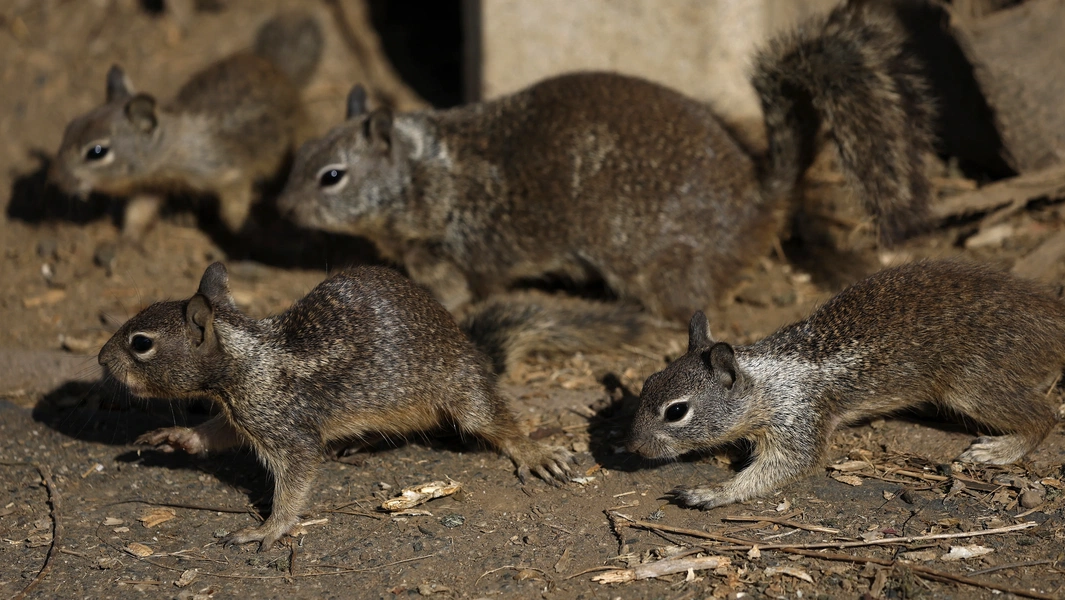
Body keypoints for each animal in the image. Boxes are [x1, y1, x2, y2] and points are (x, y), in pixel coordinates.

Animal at [49, 11, 323, 242]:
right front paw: (127, 238)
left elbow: (234, 204)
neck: (172, 148)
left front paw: (244, 227)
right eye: (69, 127)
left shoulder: (226, 169)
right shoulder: (151, 186)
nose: (59, 181)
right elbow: (139, 209)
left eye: (97, 152)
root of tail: (276, 67)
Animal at [96, 263, 651, 550]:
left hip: (462, 392)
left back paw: (532, 451)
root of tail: (474, 352)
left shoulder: (282, 426)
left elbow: (295, 482)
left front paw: (268, 529)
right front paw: (177, 438)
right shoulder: (245, 415)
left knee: (495, 420)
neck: (247, 359)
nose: (100, 358)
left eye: (140, 343)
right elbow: (216, 433)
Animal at [275, 0, 934, 323]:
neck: (427, 175)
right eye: (299, 155)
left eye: (332, 176)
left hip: (652, 262)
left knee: (690, 303)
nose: (282, 207)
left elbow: (463, 291)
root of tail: (759, 199)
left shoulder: (462, 248)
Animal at [627, 259, 1065, 510]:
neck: (765, 381)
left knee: (1044, 416)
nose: (634, 447)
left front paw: (710, 493)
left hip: (973, 385)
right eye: (648, 381)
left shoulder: (799, 419)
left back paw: (1000, 450)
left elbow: (784, 466)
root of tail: (1055, 317)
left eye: (677, 411)